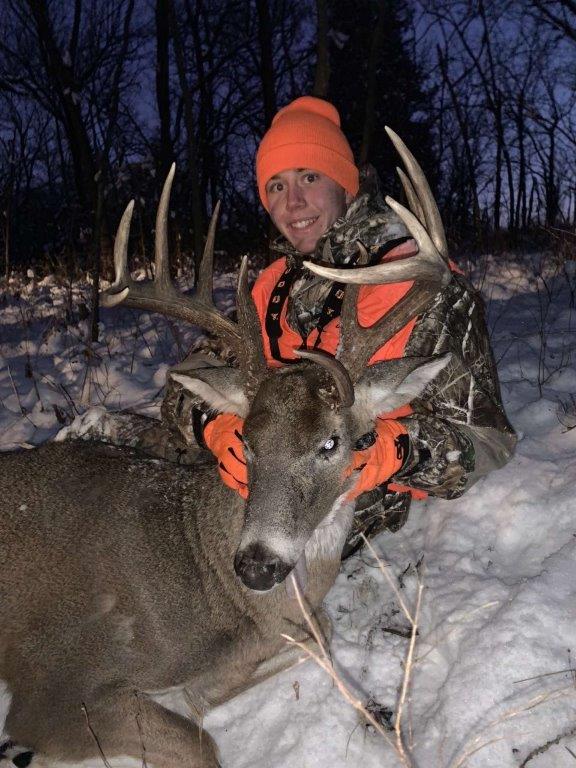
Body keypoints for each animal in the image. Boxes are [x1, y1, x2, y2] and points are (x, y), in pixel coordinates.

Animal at [0, 129, 452, 768]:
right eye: (244, 439)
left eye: (336, 441)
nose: (258, 565)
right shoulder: (53, 683)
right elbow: (199, 738)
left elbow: (309, 639)